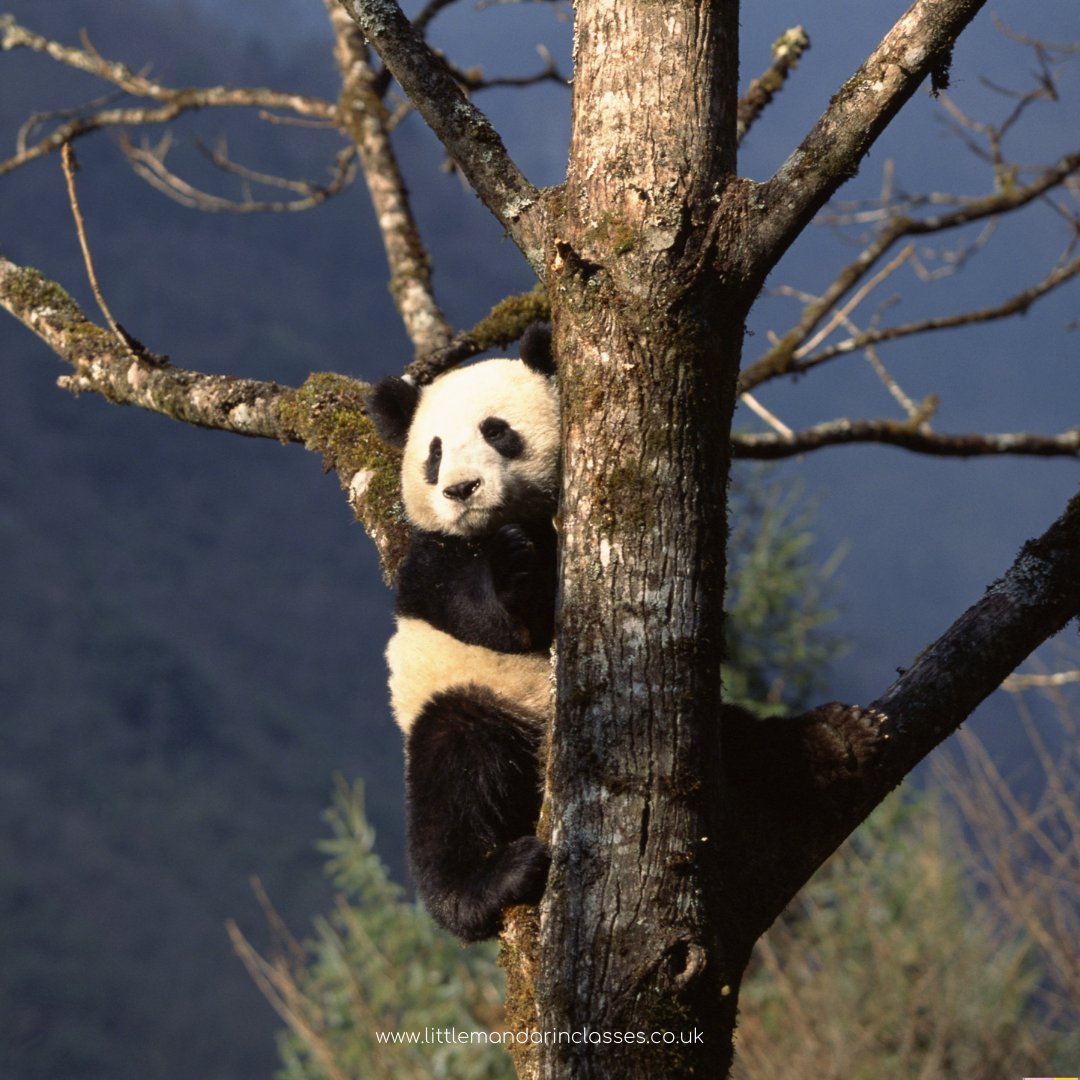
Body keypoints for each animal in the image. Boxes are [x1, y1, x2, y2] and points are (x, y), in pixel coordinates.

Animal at [365, 323, 559, 942]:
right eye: (434, 452)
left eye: (496, 431)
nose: (461, 489)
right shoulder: (429, 560)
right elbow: (479, 613)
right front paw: (516, 569)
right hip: (475, 698)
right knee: (457, 773)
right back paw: (491, 881)